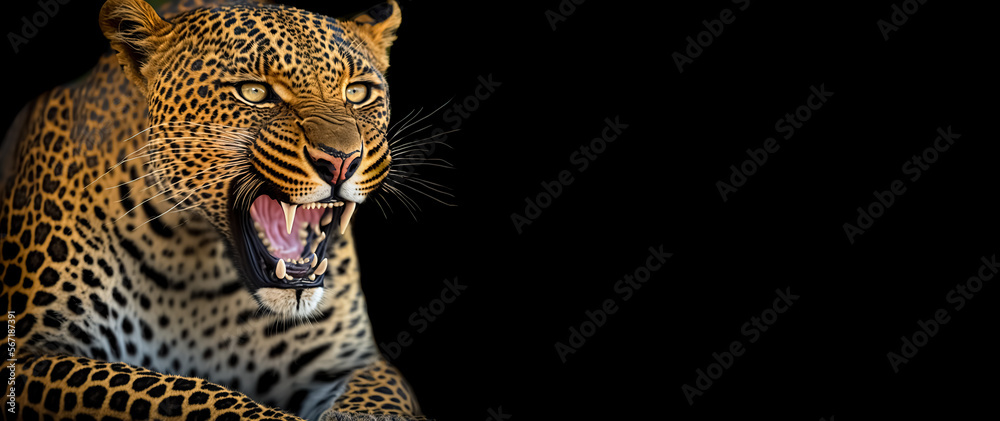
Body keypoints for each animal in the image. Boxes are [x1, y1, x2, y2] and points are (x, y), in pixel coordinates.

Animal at [1, 0, 429, 419]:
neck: (200, 265)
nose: (342, 161)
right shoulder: (29, 355)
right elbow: (202, 396)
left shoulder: (350, 361)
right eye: (254, 92)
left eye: (356, 92)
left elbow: (379, 399)